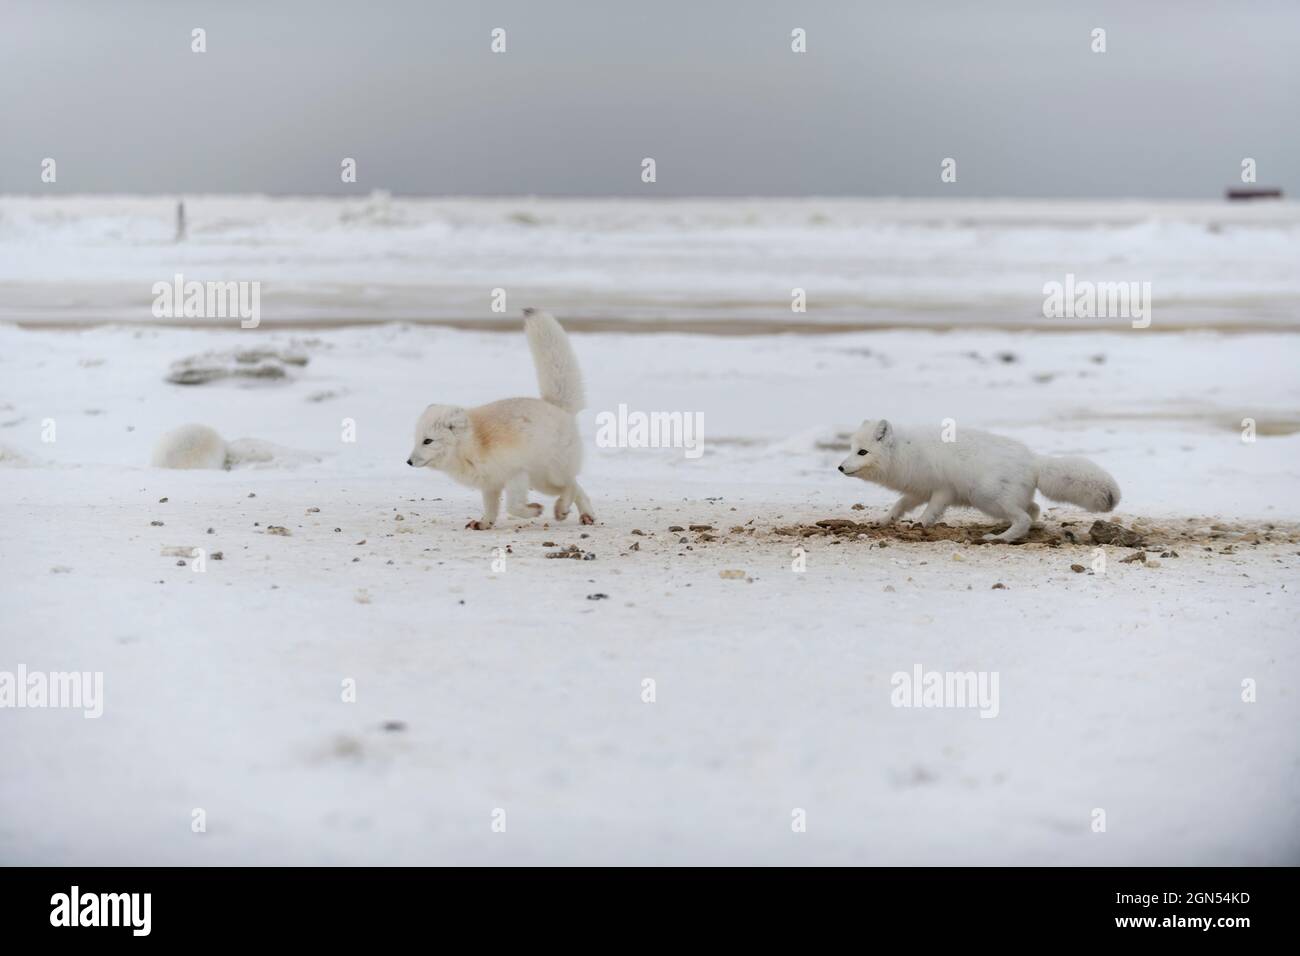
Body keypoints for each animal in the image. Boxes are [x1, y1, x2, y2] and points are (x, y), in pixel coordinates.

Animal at [406, 309, 594, 530]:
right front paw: (483, 524)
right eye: (416, 440)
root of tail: (557, 406)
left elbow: (512, 506)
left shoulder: (516, 474)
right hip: (541, 480)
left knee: (571, 484)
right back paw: (585, 515)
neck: (472, 445)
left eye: (427, 441)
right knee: (576, 487)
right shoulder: (490, 483)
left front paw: (534, 510)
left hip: (549, 473)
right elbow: (491, 508)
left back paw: (561, 509)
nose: (408, 461)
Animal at [837, 419, 1120, 543]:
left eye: (863, 452)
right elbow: (899, 506)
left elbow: (931, 510)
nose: (840, 467)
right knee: (1034, 510)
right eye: (851, 449)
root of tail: (1033, 461)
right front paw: (884, 520)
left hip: (986, 497)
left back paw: (1000, 538)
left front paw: (920, 524)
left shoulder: (942, 490)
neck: (907, 451)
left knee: (1024, 518)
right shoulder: (918, 490)